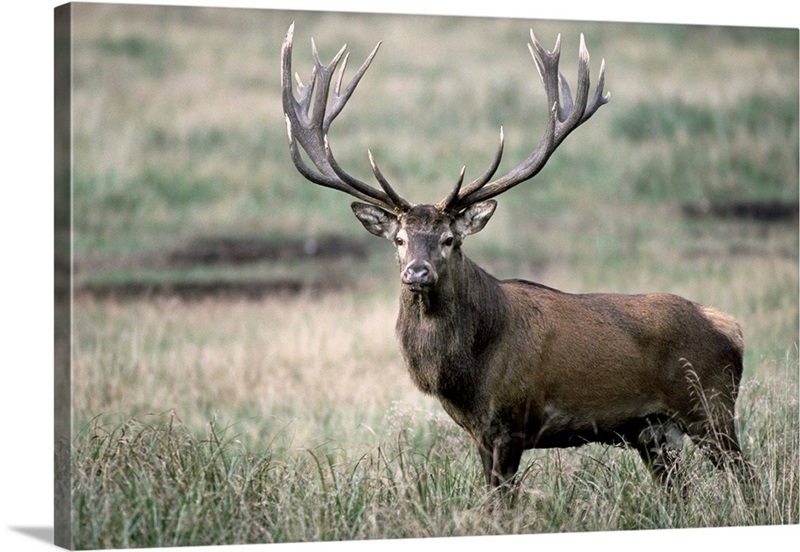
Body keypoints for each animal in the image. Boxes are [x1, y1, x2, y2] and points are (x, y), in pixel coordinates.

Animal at [280, 23, 755, 496]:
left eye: (450, 239)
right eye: (399, 239)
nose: (418, 272)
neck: (467, 373)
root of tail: (729, 326)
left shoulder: (511, 422)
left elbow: (502, 502)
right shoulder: (479, 432)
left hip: (710, 406)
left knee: (746, 477)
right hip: (653, 431)